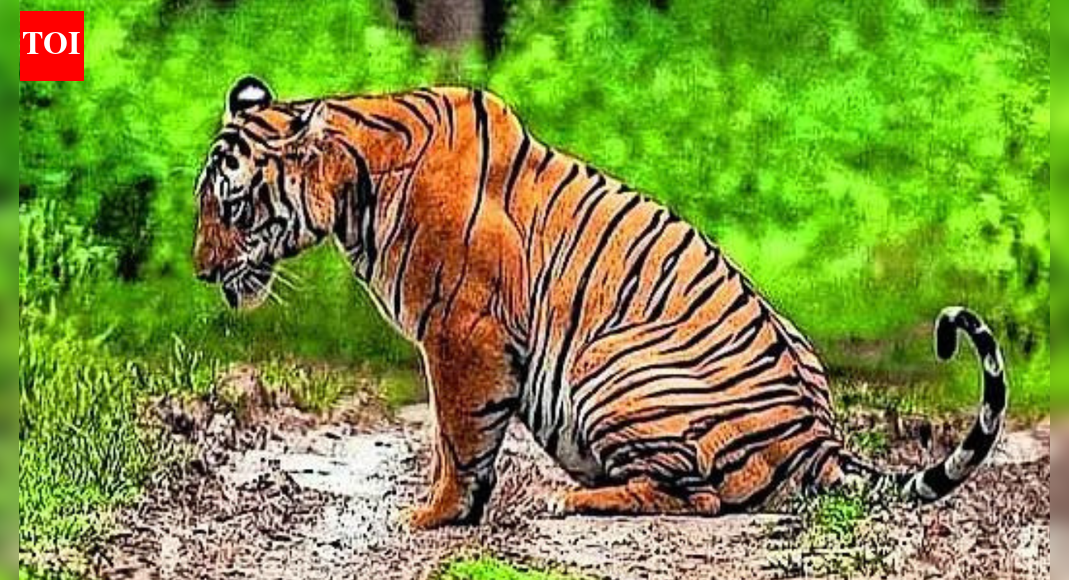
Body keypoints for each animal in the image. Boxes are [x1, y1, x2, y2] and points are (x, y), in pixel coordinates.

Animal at [193, 76, 1008, 529]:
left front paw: (435, 516)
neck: (352, 188)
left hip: (607, 365)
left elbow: (457, 437)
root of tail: (820, 439)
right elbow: (456, 440)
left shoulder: (461, 334)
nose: (202, 272)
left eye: (231, 205)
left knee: (700, 498)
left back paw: (575, 500)